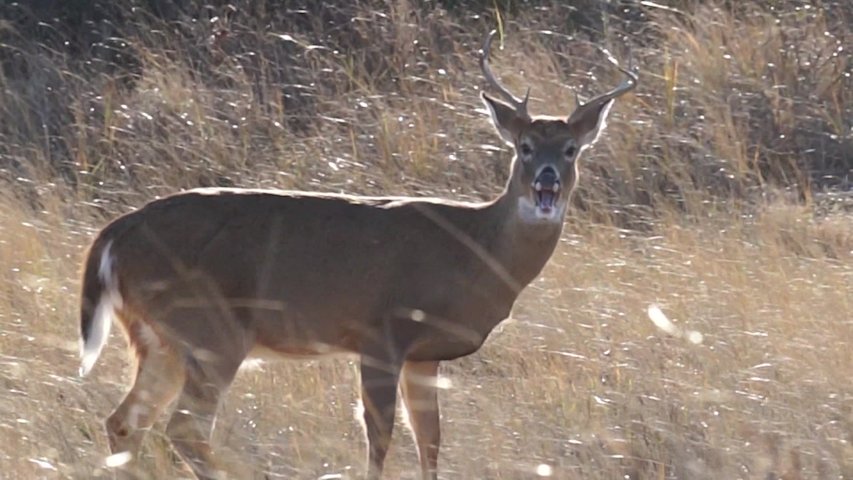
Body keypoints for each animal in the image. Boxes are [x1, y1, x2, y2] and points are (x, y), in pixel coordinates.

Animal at [77, 30, 637, 480]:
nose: (547, 180)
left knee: (125, 422)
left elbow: (430, 440)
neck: (473, 248)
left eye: (571, 149)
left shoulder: (423, 353)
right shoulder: (381, 331)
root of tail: (115, 233)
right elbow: (381, 435)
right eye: (524, 147)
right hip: (211, 327)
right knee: (183, 430)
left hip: (159, 338)